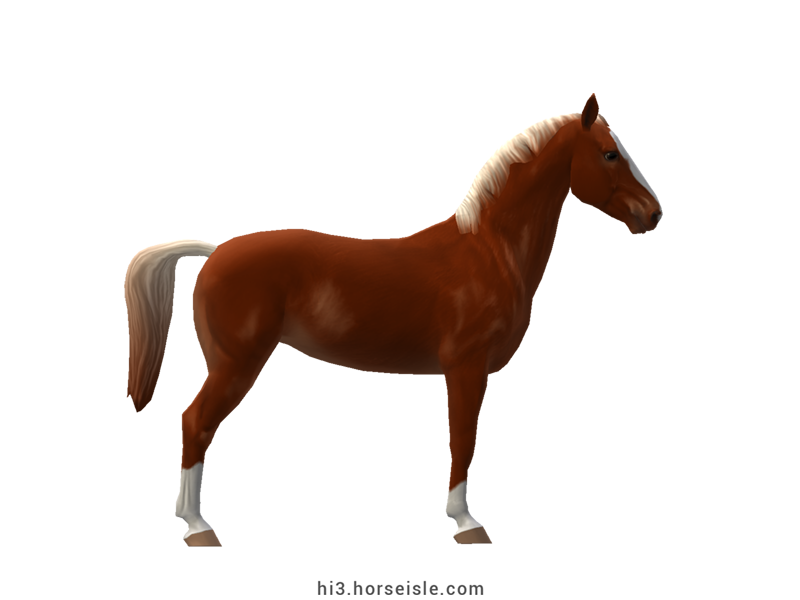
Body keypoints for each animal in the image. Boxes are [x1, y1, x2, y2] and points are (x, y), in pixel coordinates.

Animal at [125, 107, 662, 537]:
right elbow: (464, 438)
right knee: (194, 423)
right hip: (236, 362)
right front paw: (462, 520)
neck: (490, 252)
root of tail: (209, 254)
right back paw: (194, 525)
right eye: (610, 154)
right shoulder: (466, 366)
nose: (653, 214)